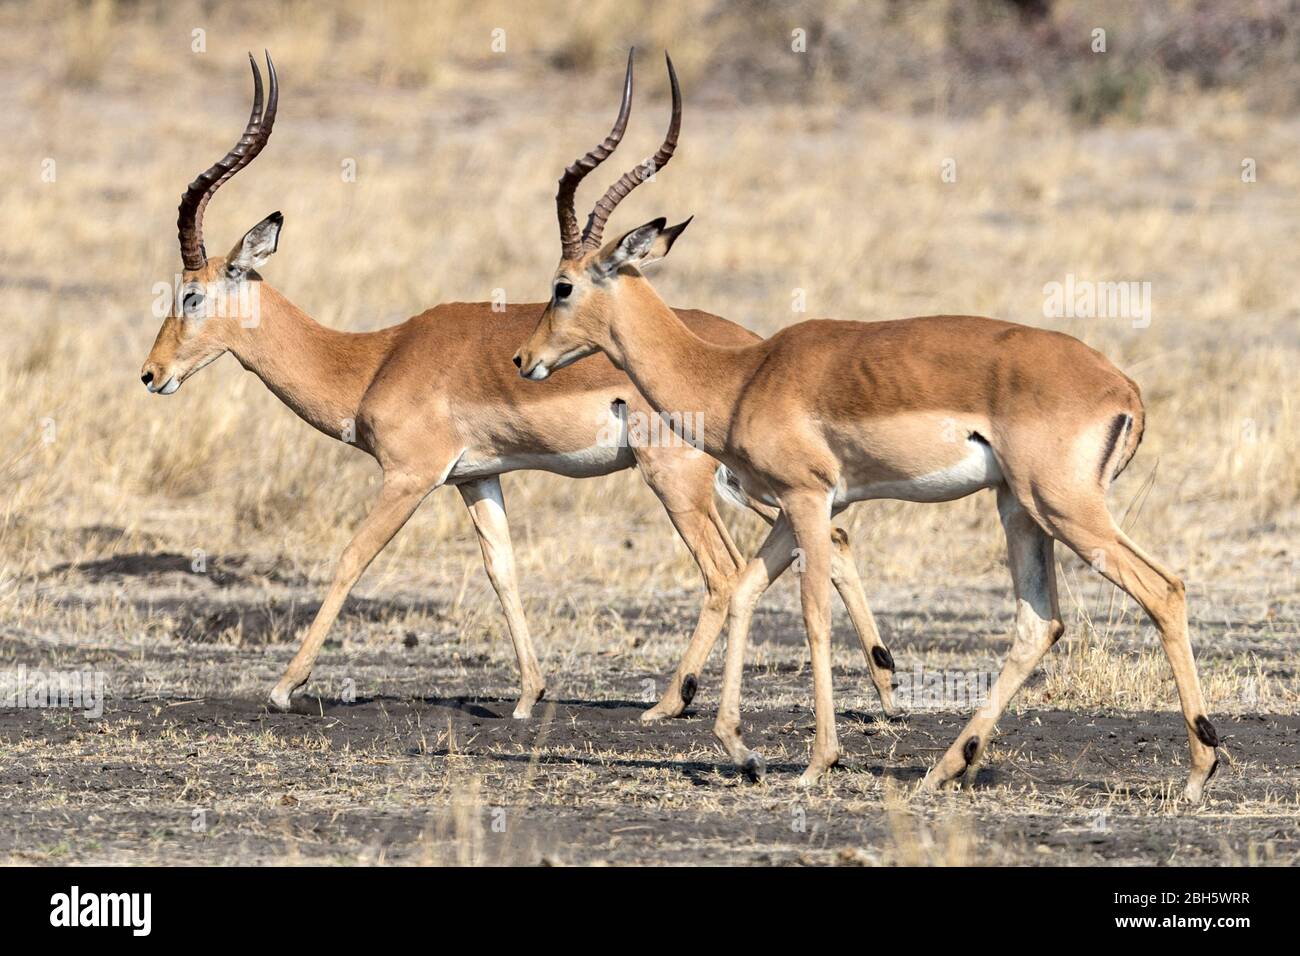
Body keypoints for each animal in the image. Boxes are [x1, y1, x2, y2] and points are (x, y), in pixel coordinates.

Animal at [141, 53, 902, 721]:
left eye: (191, 295)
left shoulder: (409, 476)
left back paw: (670, 702)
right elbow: (501, 569)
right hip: (745, 482)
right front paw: (530, 696)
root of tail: (747, 348)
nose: (151, 374)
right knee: (831, 540)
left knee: (726, 569)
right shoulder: (477, 478)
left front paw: (281, 688)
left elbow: (353, 558)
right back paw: (886, 692)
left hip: (680, 480)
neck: (376, 358)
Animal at [513, 53, 1220, 803]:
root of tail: (1124, 385)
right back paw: (946, 767)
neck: (741, 376)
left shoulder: (806, 499)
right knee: (1039, 622)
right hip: (1018, 508)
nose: (524, 359)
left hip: (1065, 507)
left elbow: (810, 616)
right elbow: (744, 589)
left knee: (1163, 590)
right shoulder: (797, 508)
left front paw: (817, 760)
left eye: (562, 285)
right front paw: (739, 748)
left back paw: (1199, 770)